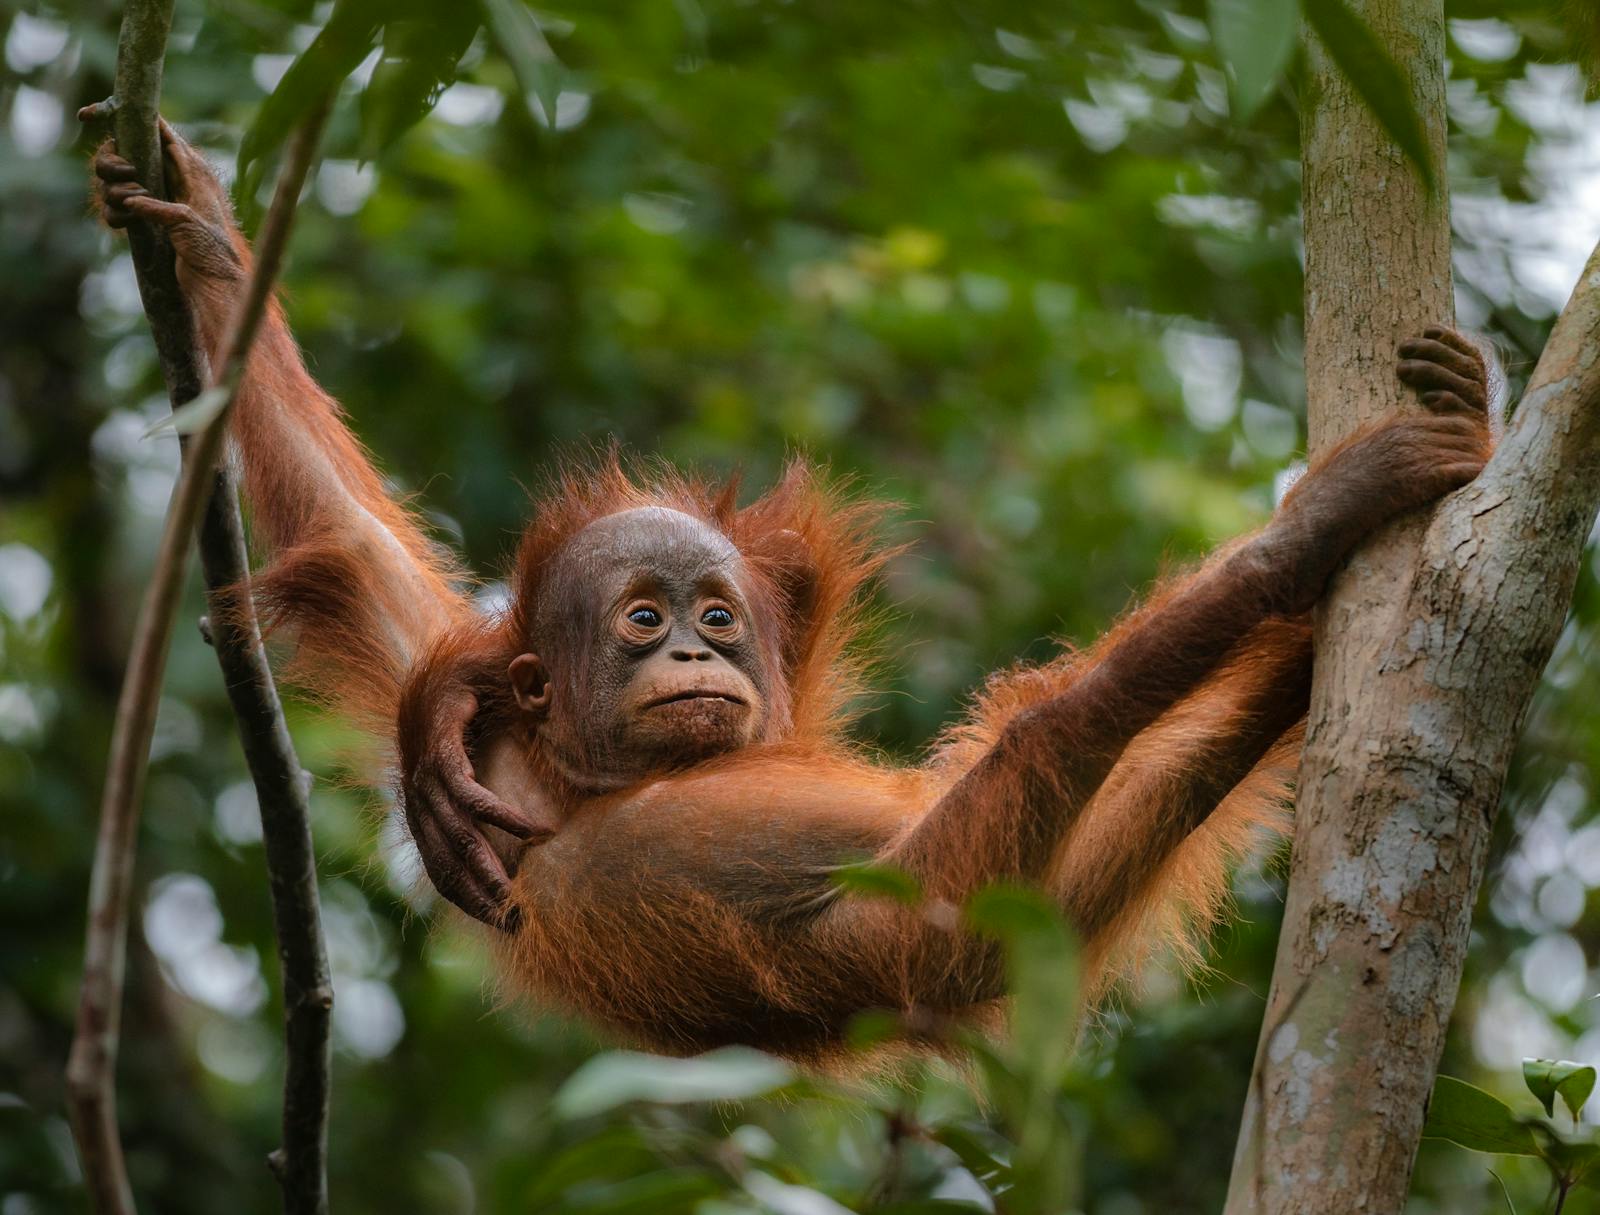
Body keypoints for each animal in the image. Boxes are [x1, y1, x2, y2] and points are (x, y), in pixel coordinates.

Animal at [92, 119, 1494, 1061]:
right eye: (643, 620)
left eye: (715, 617)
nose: (696, 658)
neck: (571, 778)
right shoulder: (648, 862)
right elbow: (947, 903)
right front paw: (1313, 524)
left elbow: (344, 530)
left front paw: (203, 227)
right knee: (1050, 755)